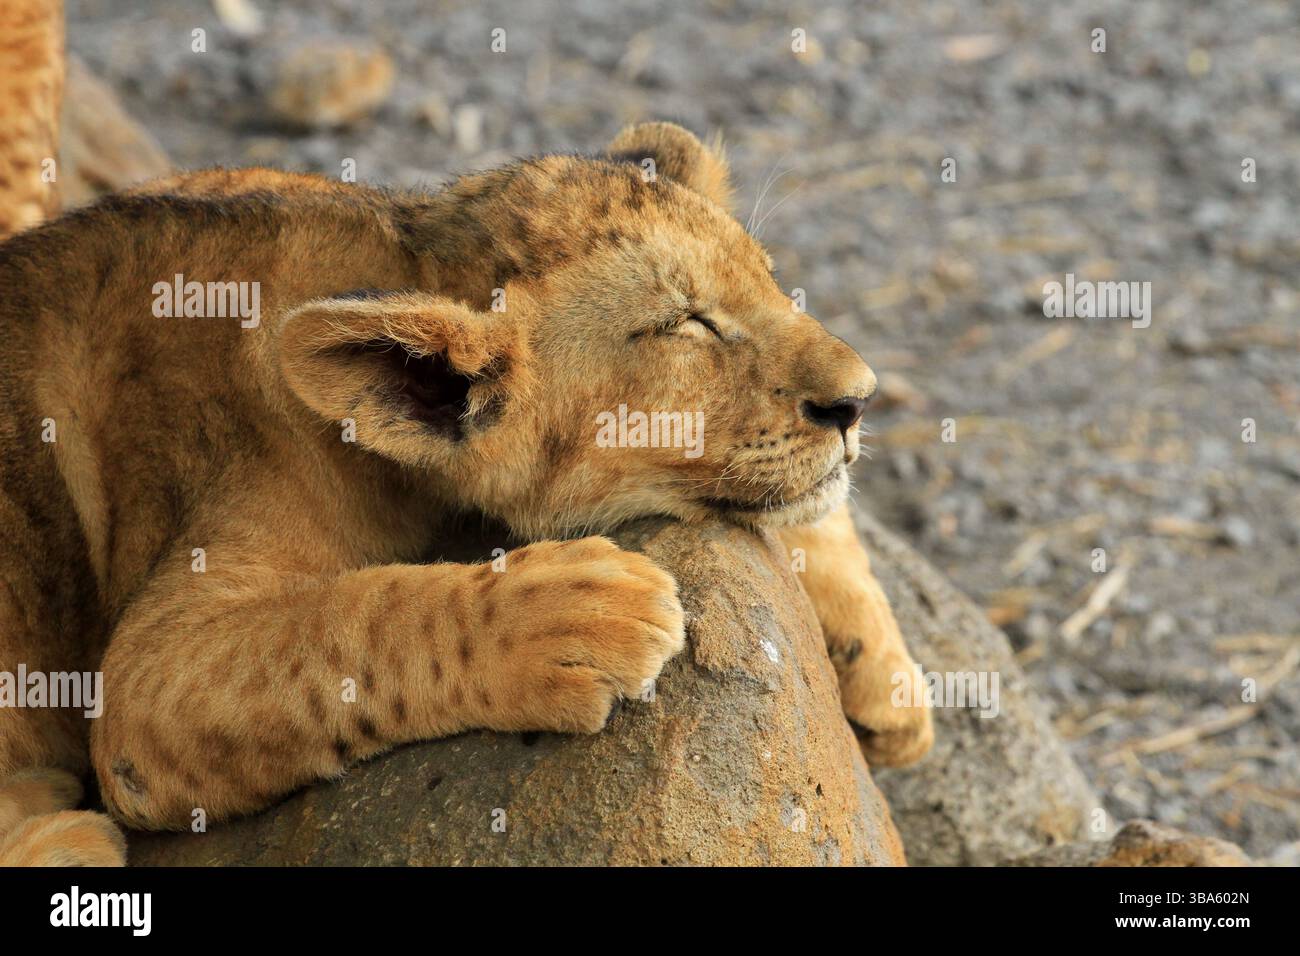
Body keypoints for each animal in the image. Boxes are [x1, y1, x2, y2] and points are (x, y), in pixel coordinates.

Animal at [0, 21, 930, 871]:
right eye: (683, 324)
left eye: (771, 282)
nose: (859, 398)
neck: (397, 253)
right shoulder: (141, 686)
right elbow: (347, 620)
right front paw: (578, 610)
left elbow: (819, 506)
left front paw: (885, 675)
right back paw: (62, 831)